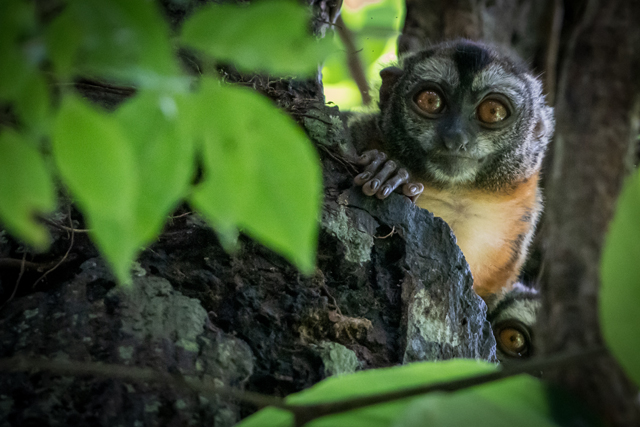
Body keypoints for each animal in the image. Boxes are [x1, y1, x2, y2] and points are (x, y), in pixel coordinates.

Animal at [348, 40, 554, 306]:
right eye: (430, 100)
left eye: (493, 111)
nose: (455, 138)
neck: (455, 192)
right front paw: (387, 171)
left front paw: (391, 176)